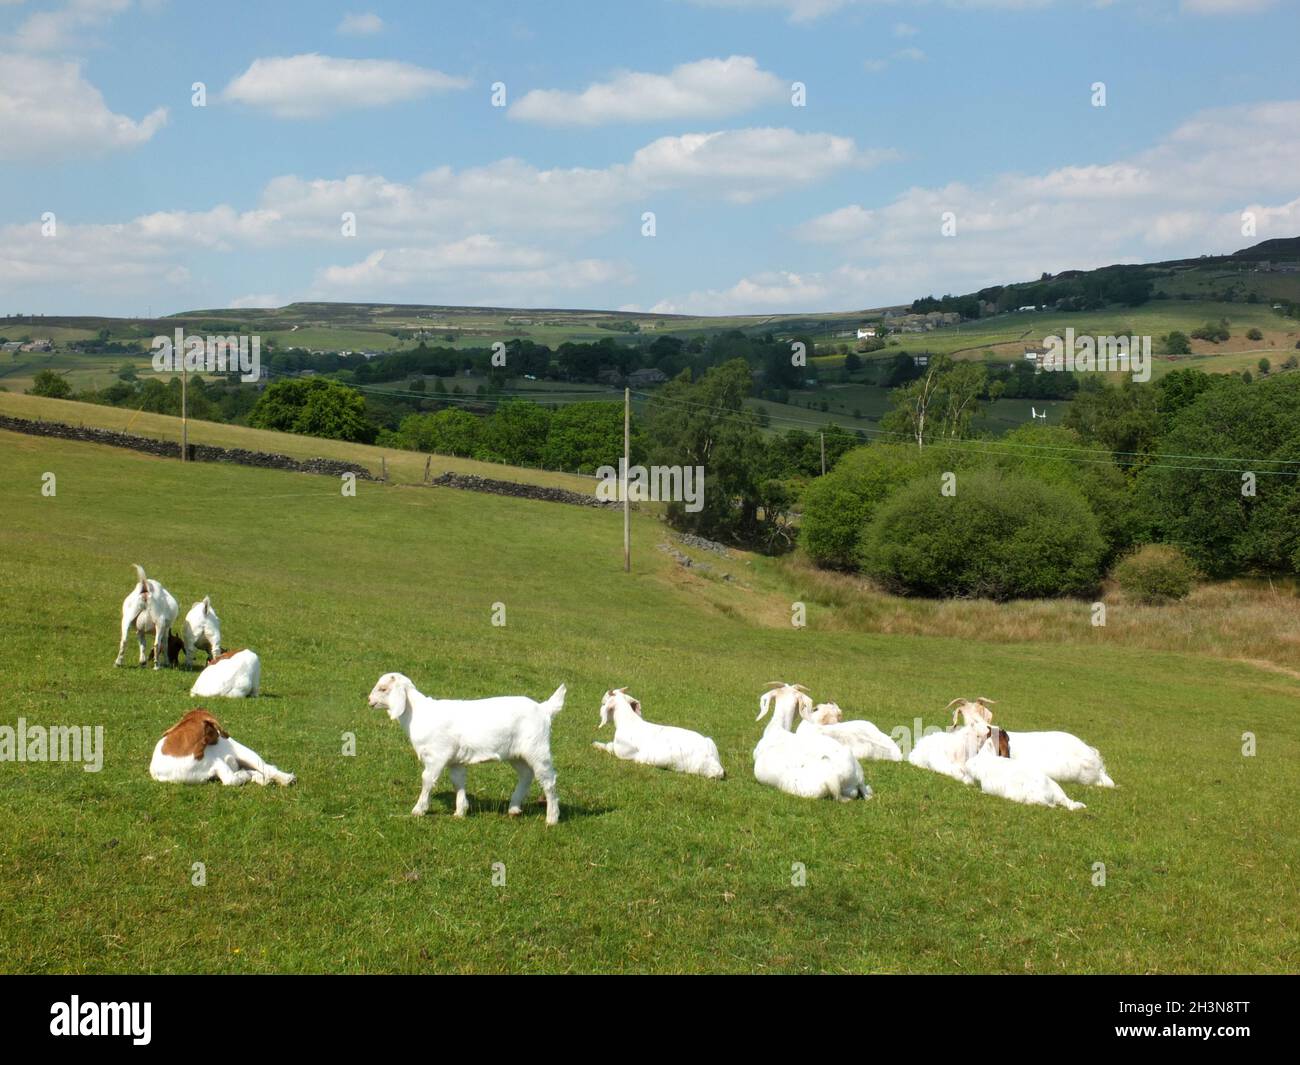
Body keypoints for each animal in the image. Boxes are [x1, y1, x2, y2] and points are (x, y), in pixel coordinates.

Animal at [149, 708, 294, 786]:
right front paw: (246, 775)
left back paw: (286, 778)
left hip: (247, 754)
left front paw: (243, 774)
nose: (222, 736)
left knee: (267, 768)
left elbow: (232, 778)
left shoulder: (216, 762)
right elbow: (233, 778)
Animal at [368, 672, 566, 824]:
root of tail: (544, 709)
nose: (369, 700)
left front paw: (419, 810)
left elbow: (427, 780)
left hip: (538, 749)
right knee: (526, 775)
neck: (417, 714)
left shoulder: (436, 756)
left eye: (383, 689)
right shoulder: (454, 760)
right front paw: (460, 811)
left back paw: (551, 818)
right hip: (516, 754)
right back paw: (514, 808)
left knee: (548, 781)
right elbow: (458, 781)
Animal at [593, 688, 725, 779]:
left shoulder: (621, 751)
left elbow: (608, 746)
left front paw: (596, 744)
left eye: (604, 704)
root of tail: (715, 764)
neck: (628, 722)